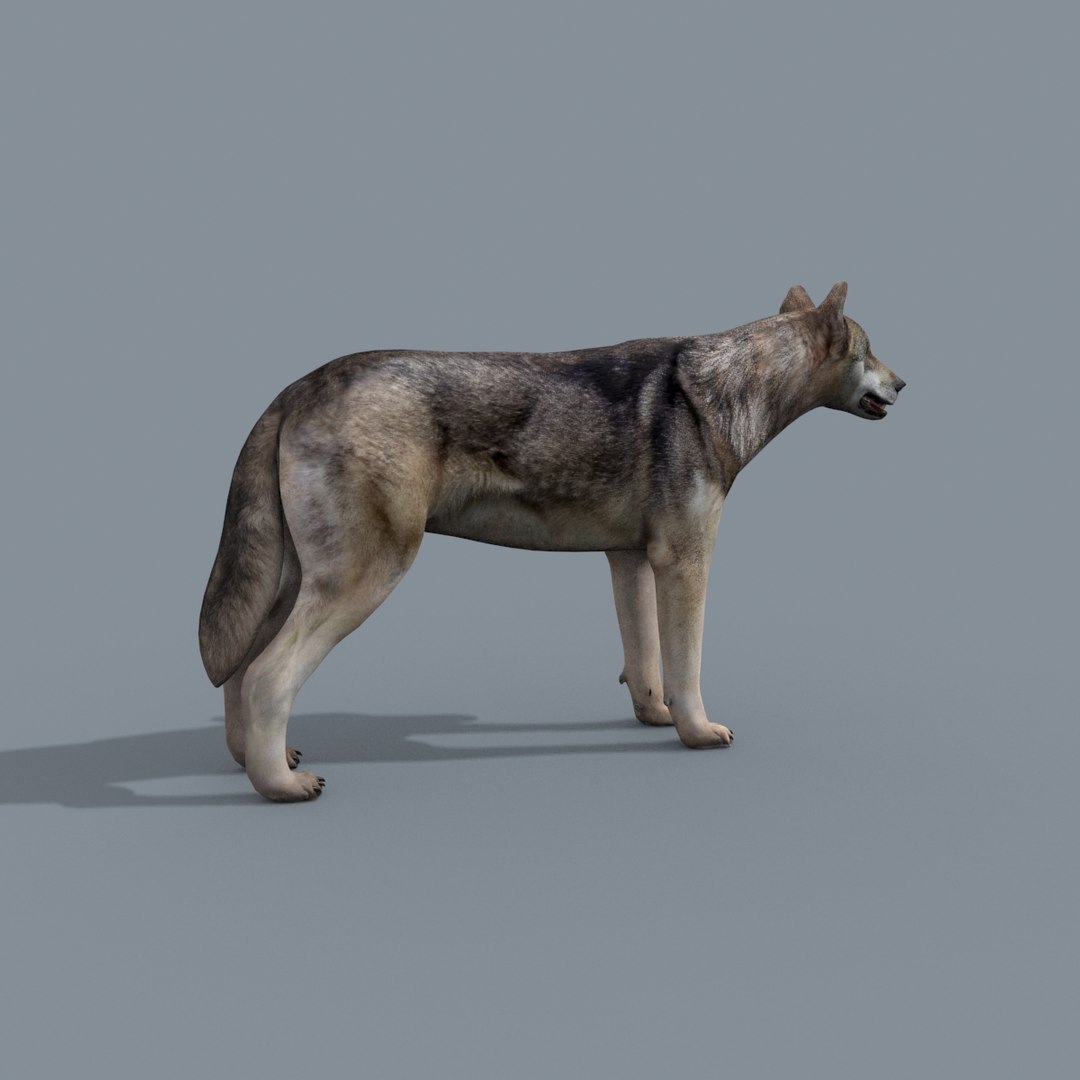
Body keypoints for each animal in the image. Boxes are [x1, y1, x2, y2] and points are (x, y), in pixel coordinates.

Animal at [200, 282, 904, 802]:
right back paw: (282, 786)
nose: (904, 384)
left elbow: (645, 662)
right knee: (267, 676)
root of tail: (296, 387)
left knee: (236, 673)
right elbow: (687, 665)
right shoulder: (686, 563)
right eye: (869, 351)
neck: (724, 391)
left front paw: (654, 719)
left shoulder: (630, 561)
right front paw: (698, 732)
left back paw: (251, 761)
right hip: (363, 579)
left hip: (289, 586)